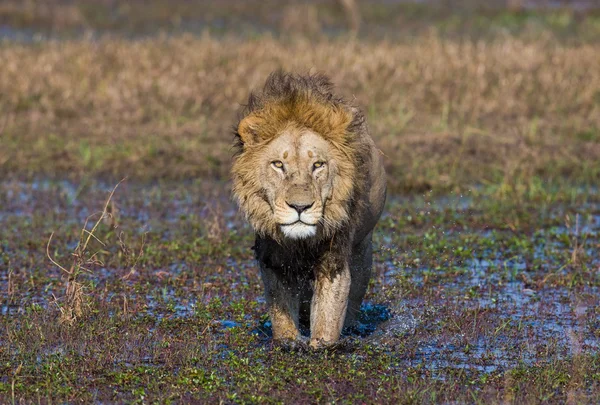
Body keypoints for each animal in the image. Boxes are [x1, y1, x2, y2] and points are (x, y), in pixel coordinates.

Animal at [232, 70, 386, 348]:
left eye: (318, 165)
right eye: (278, 164)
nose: (300, 206)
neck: (300, 242)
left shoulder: (334, 258)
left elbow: (328, 314)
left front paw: (322, 346)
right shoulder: (273, 259)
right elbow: (281, 313)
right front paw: (289, 343)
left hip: (362, 248)